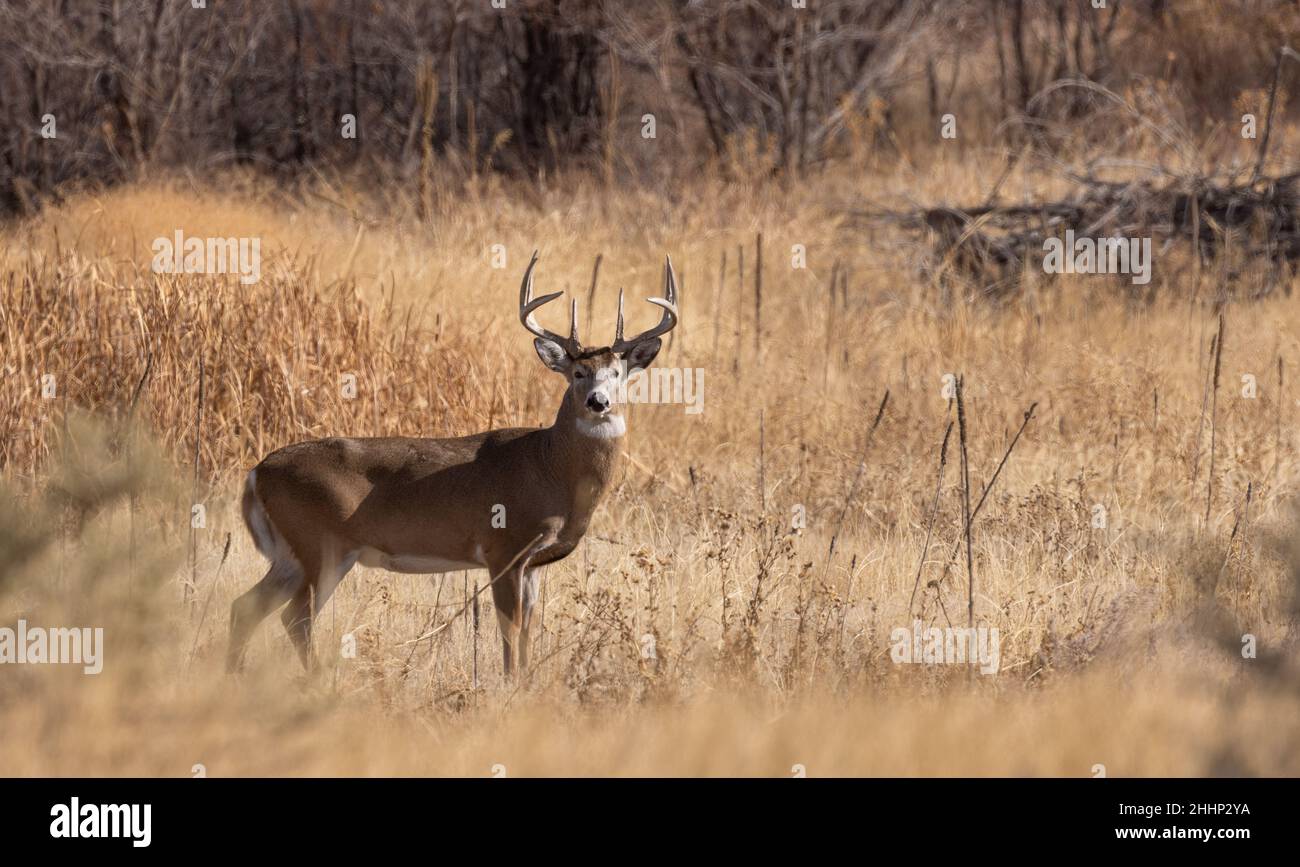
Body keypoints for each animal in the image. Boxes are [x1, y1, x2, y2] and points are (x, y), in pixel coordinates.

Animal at [226, 252, 678, 679]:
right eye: (578, 372)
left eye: (617, 372)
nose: (598, 402)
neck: (550, 467)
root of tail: (257, 472)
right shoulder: (504, 546)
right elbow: (510, 630)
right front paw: (510, 687)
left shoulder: (532, 562)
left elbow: (529, 633)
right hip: (322, 544)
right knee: (295, 617)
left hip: (291, 553)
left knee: (245, 606)